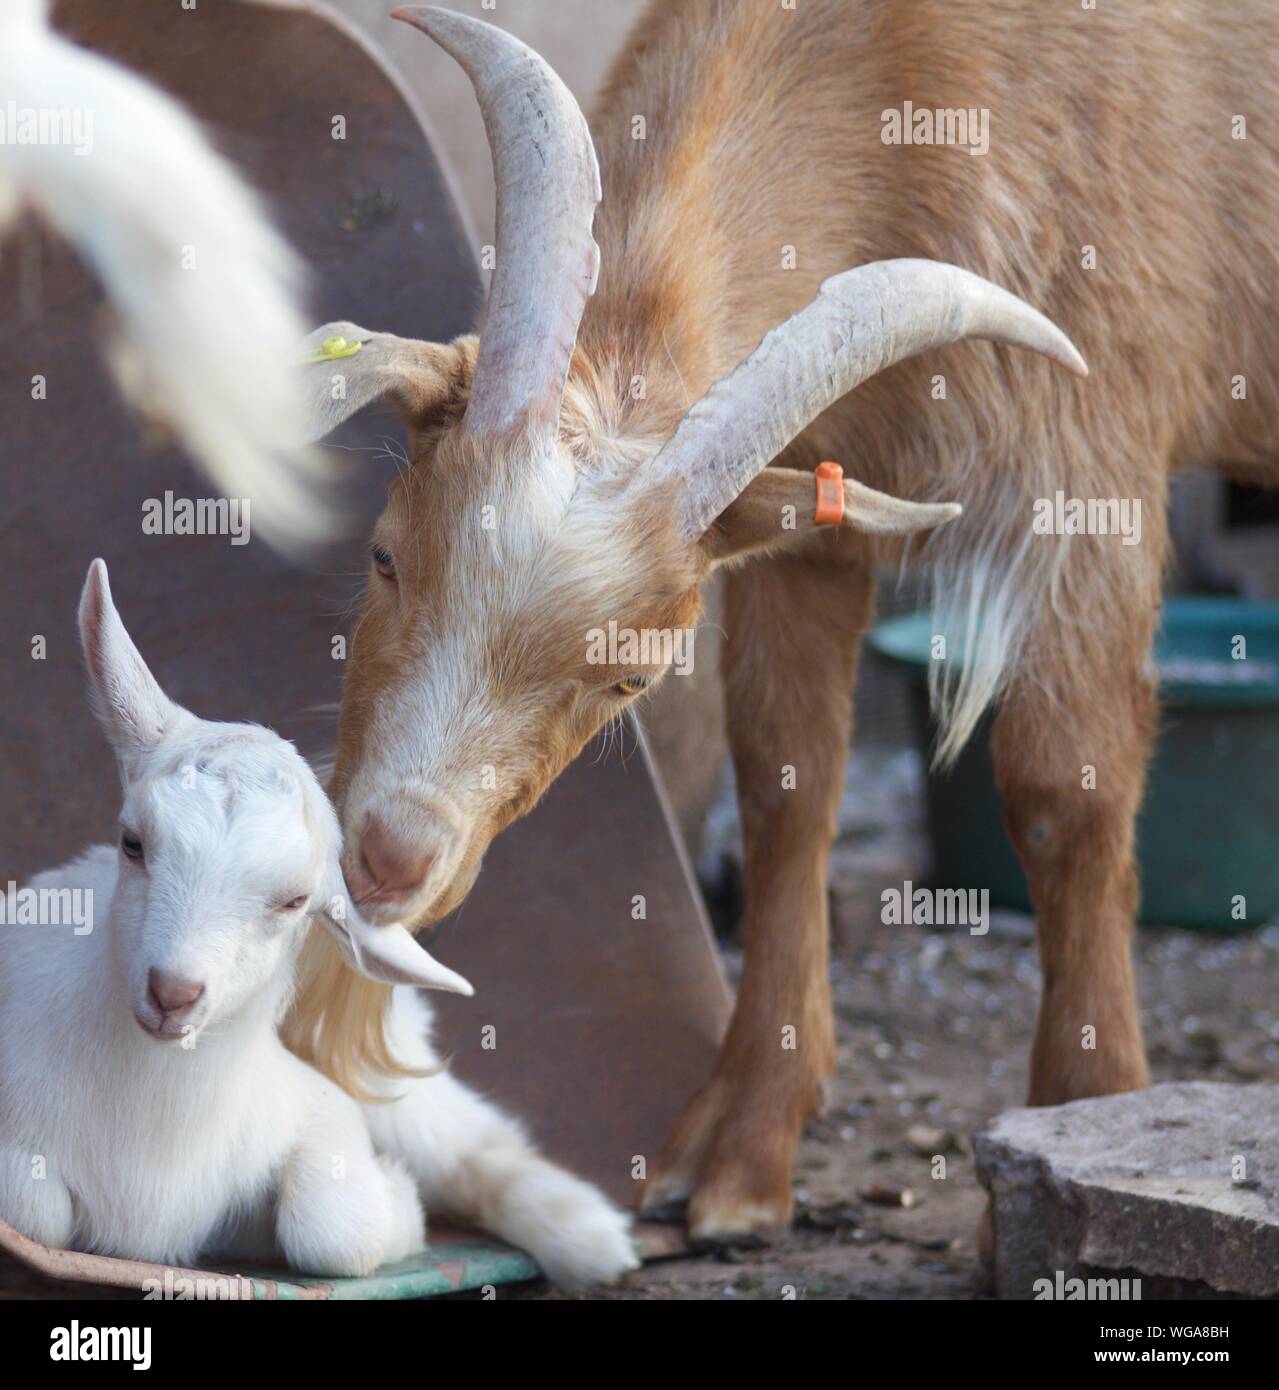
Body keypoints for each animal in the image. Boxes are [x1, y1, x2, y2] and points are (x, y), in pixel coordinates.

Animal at [0, 560, 637, 1286]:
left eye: (295, 900)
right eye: (133, 843)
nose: (172, 993)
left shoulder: (318, 1106)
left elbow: (335, 1229)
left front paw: (399, 1201)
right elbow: (36, 1209)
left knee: (472, 1143)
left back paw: (591, 1240)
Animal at [288, 1, 1279, 1242]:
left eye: (630, 679)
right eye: (384, 556)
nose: (388, 858)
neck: (912, 76)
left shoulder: (1090, 457)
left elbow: (1066, 786)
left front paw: (1085, 1120)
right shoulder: (809, 521)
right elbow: (782, 780)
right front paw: (740, 1151)